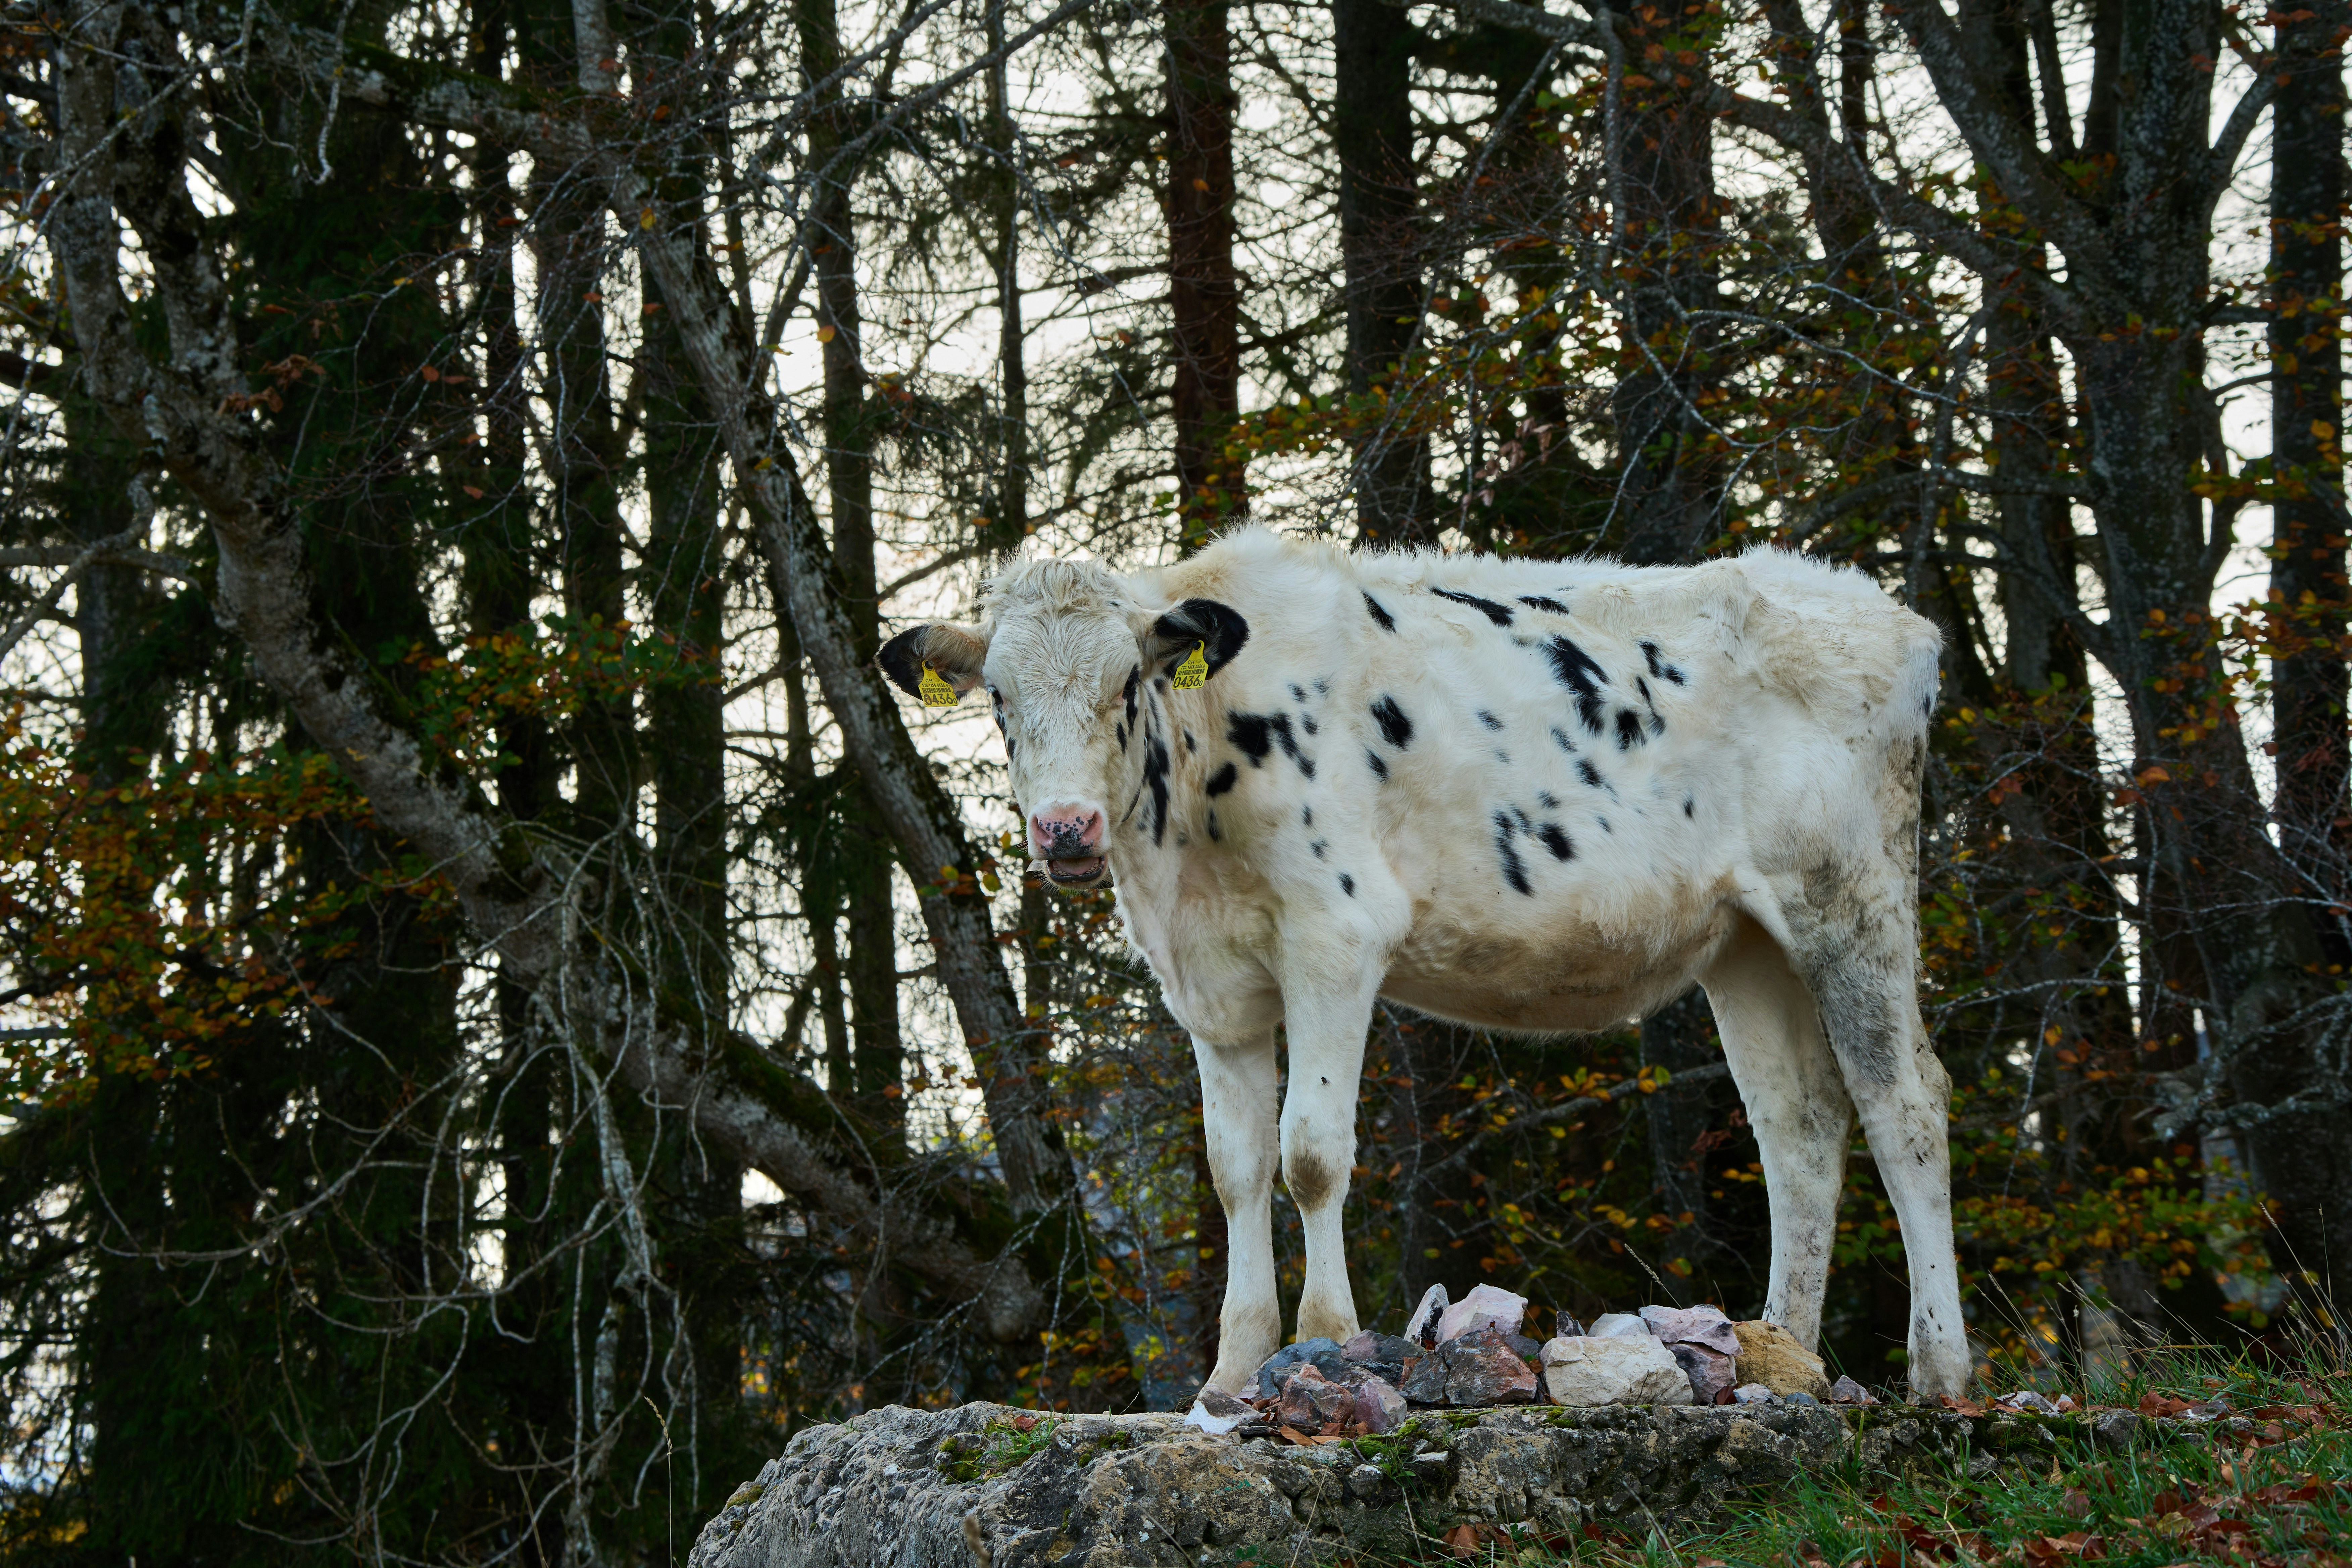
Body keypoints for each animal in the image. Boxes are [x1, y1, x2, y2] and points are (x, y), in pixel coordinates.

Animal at [878, 526, 1969, 1399]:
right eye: (1000, 699)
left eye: (1124, 686)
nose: (1065, 829)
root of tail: (1888, 617)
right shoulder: (1213, 983)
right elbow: (1235, 1168)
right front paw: (1229, 1374)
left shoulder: (1334, 934)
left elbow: (1310, 1153)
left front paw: (1321, 1339)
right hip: (1744, 939)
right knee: (1797, 1127)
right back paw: (1783, 1355)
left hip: (1849, 895)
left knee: (1903, 1103)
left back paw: (1940, 1371)